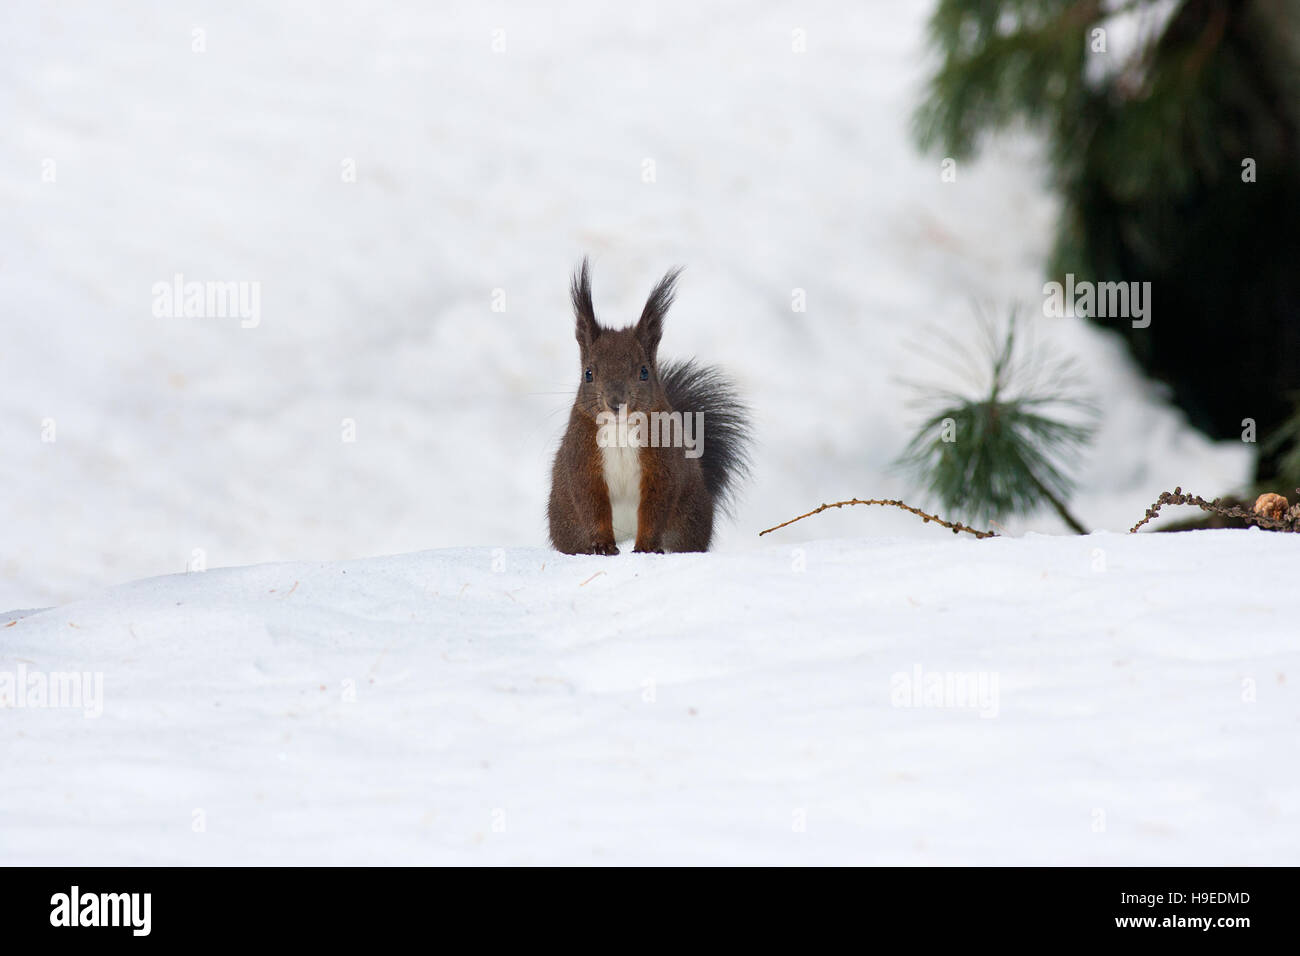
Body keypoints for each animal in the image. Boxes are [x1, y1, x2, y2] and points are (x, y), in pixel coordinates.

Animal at [548, 258, 751, 554]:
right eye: (588, 373)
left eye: (644, 371)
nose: (616, 401)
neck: (620, 430)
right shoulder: (581, 458)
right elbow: (590, 502)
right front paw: (602, 546)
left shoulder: (663, 464)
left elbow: (656, 507)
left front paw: (645, 547)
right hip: (568, 525)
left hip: (687, 523)